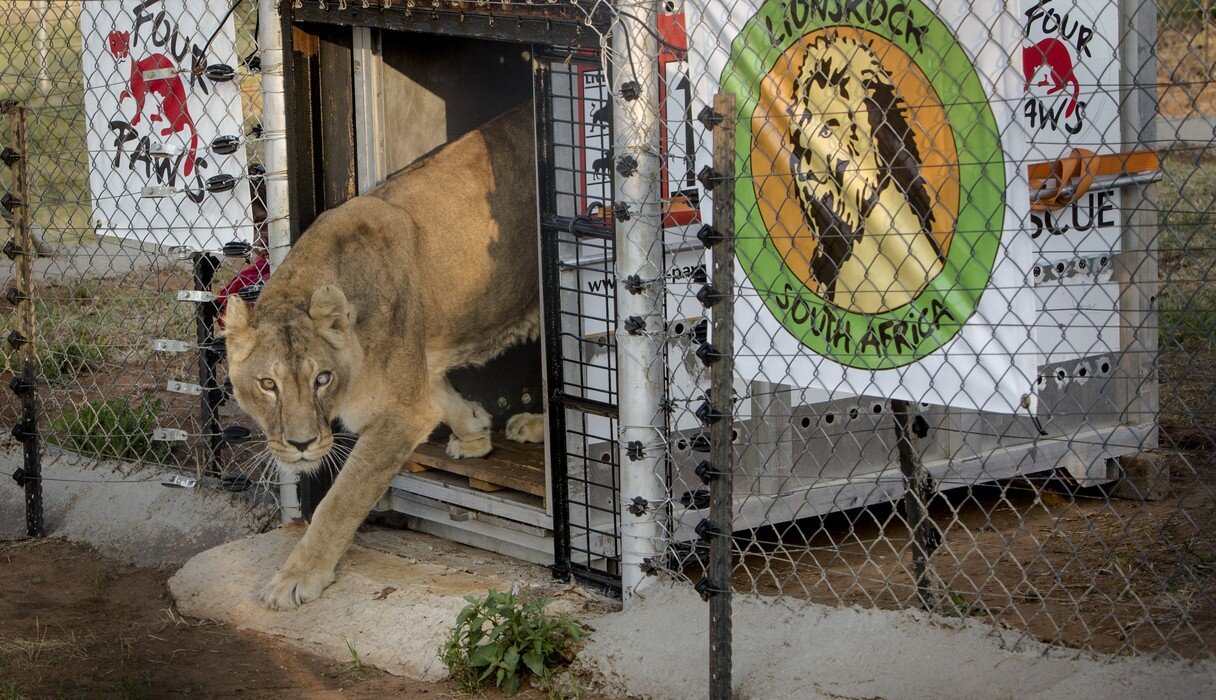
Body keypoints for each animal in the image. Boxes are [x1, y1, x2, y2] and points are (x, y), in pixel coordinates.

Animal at [223, 103, 544, 609]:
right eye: (267, 384)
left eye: (322, 379)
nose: (300, 445)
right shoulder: (418, 378)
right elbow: (443, 396)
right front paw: (474, 431)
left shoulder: (400, 414)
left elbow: (341, 500)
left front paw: (297, 576)